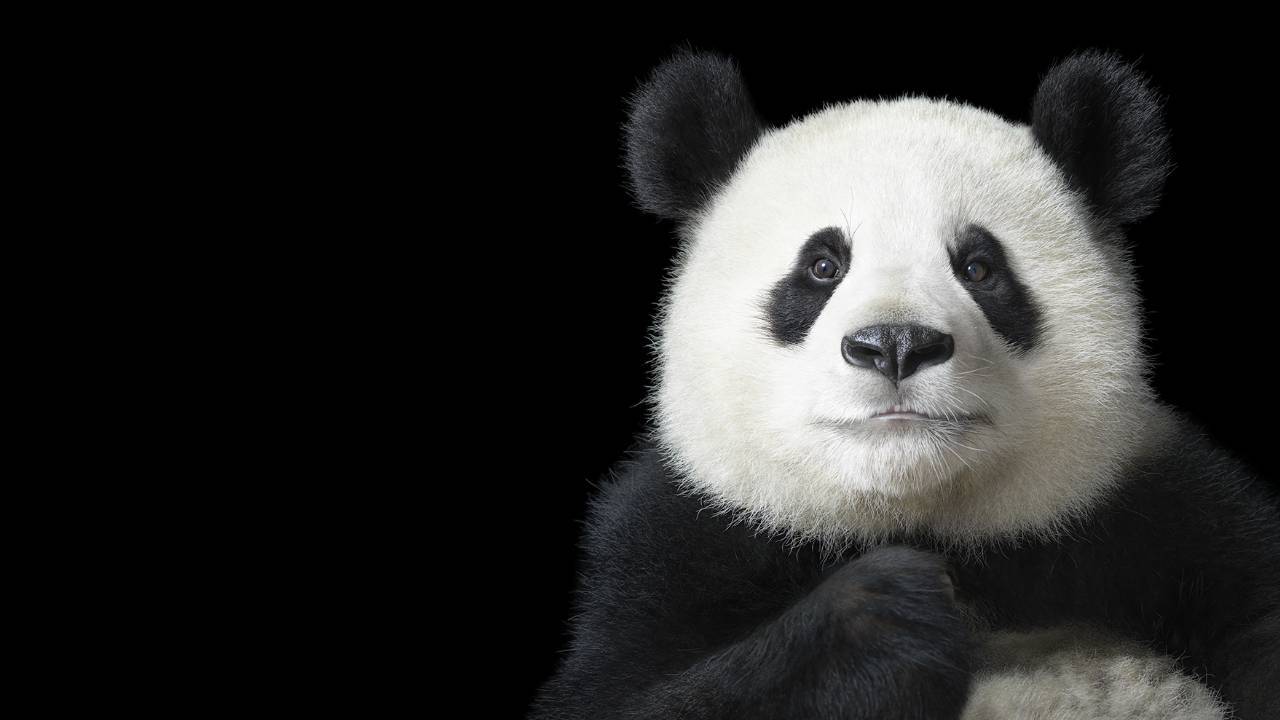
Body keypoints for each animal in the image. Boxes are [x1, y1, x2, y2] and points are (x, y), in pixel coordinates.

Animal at [529, 50, 1279, 719]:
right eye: (822, 266)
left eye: (979, 268)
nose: (895, 344)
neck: (918, 514)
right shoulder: (674, 542)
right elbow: (614, 695)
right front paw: (887, 617)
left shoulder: (1164, 512)